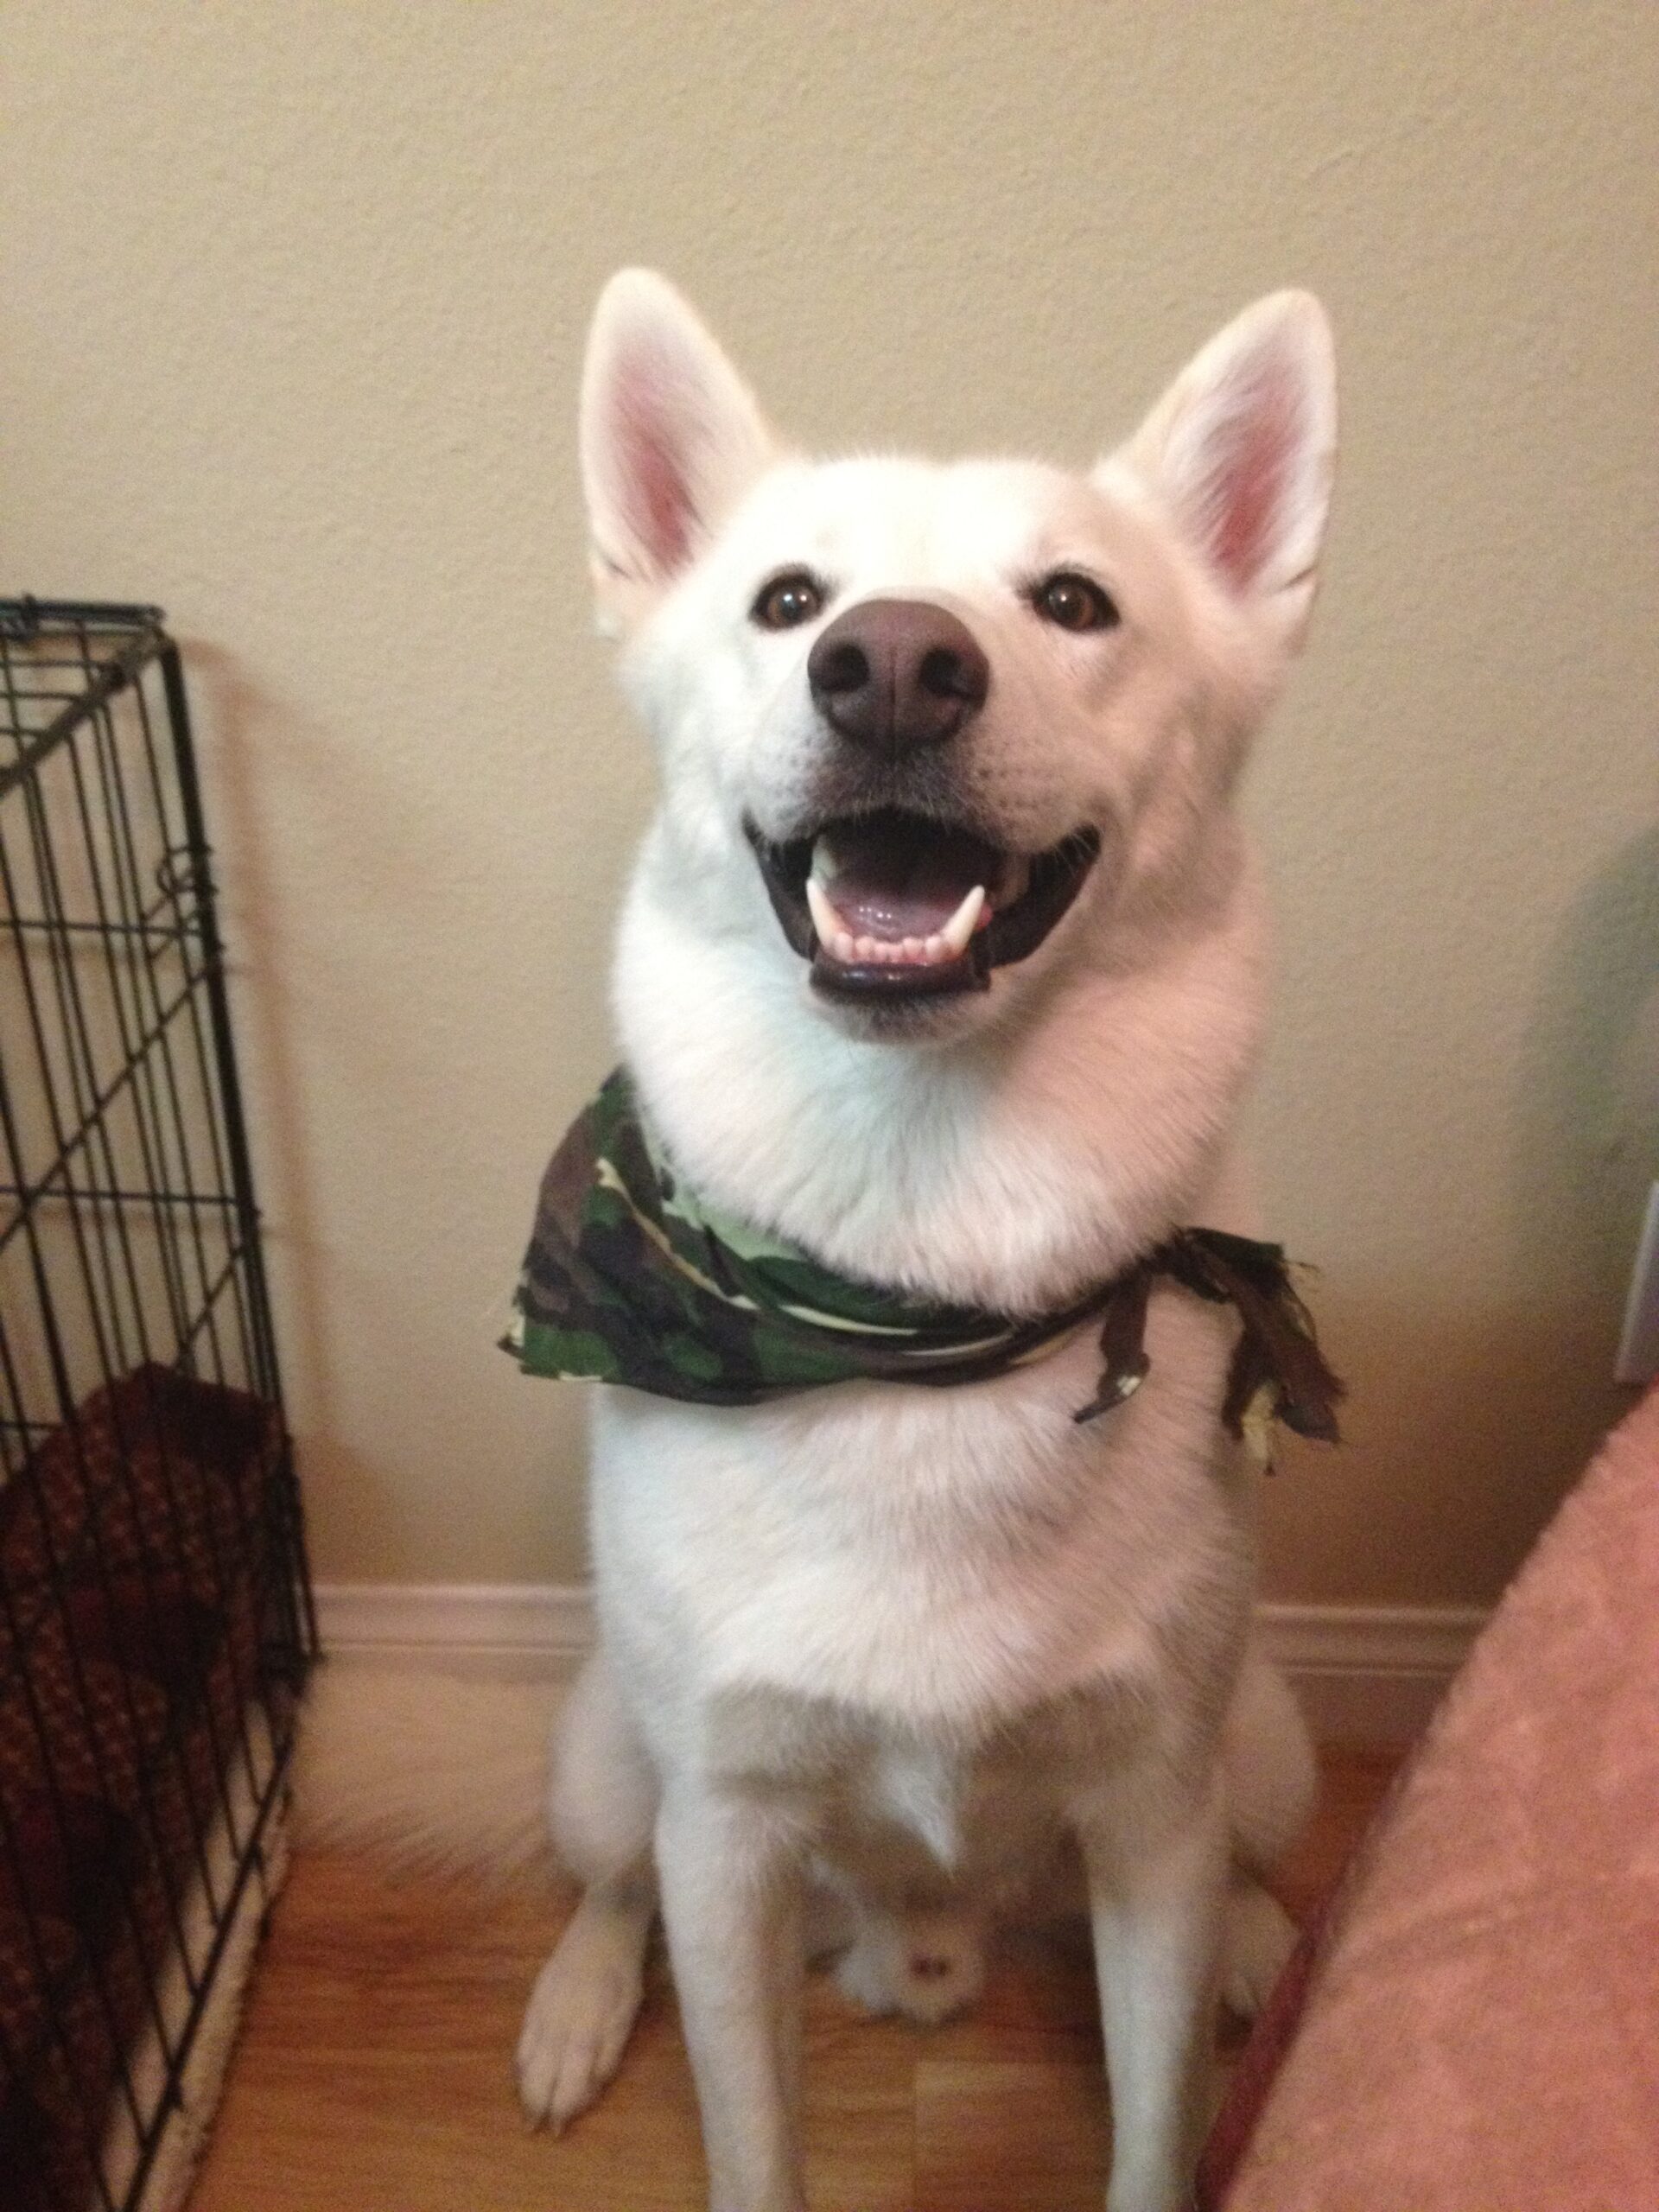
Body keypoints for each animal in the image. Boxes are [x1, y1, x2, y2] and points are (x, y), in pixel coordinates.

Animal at [513, 268, 1337, 2212]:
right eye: (786, 600)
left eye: (1074, 602)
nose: (891, 662)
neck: (915, 1268)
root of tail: (926, 1953)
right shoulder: (727, 1836)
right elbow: (749, 2133)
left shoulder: (1155, 1816)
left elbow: (1156, 2119)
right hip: (604, 1754)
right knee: (609, 1880)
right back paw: (576, 2000)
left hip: (1266, 1741)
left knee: (1251, 1864)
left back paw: (1267, 1946)